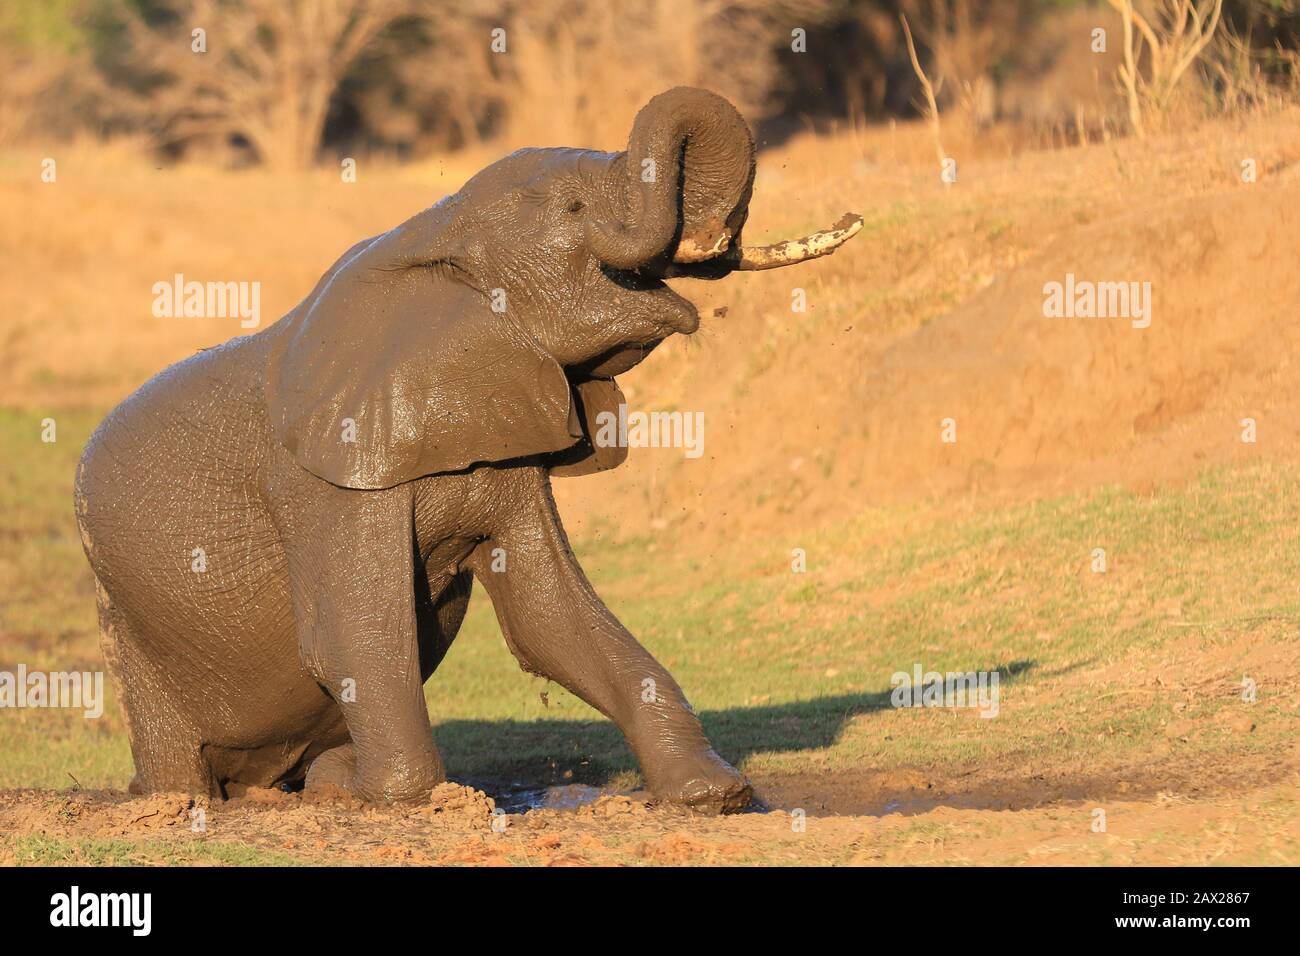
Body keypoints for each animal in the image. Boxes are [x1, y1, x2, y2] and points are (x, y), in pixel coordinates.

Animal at [74, 87, 861, 813]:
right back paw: (192, 801)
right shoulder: (329, 482)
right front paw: (388, 795)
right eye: (574, 208)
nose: (856, 216)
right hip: (126, 619)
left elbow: (554, 616)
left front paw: (717, 796)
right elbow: (353, 639)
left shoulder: (507, 435)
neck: (438, 227)